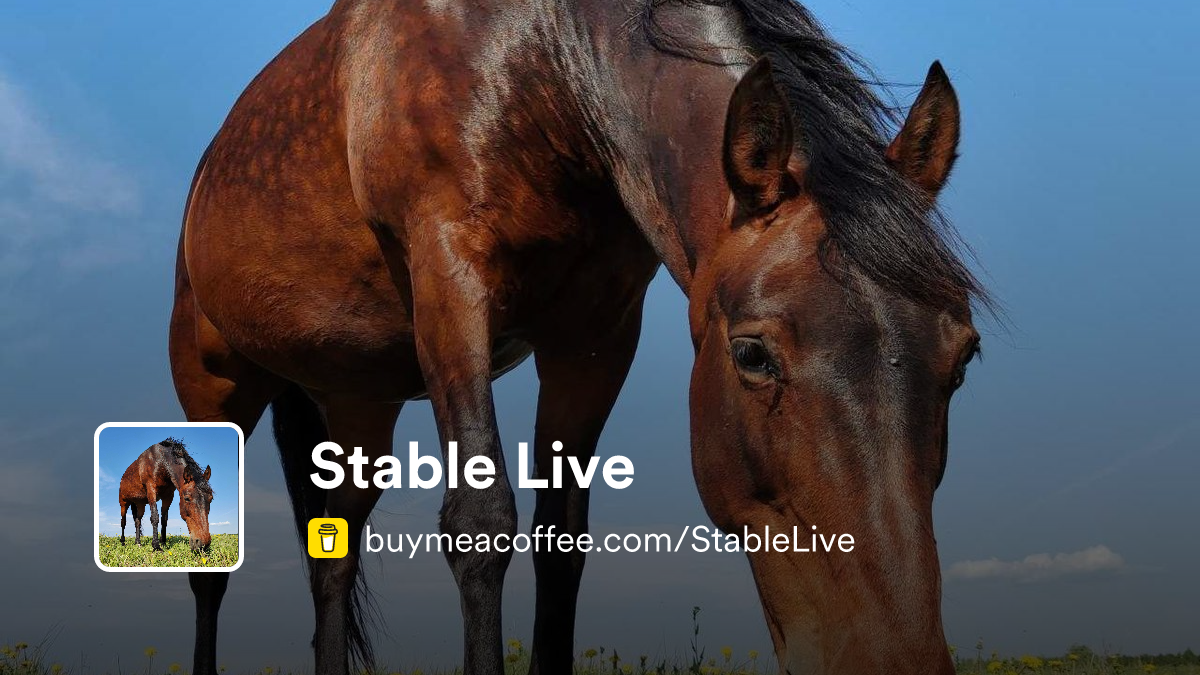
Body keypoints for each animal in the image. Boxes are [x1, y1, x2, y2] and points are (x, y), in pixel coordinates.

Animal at [168, 1, 988, 674]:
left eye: (963, 359)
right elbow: (481, 520)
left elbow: (561, 536)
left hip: (358, 403)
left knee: (332, 552)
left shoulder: (595, 334)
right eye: (752, 354)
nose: (895, 662)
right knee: (211, 572)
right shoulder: (449, 289)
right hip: (217, 391)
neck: (536, 63)